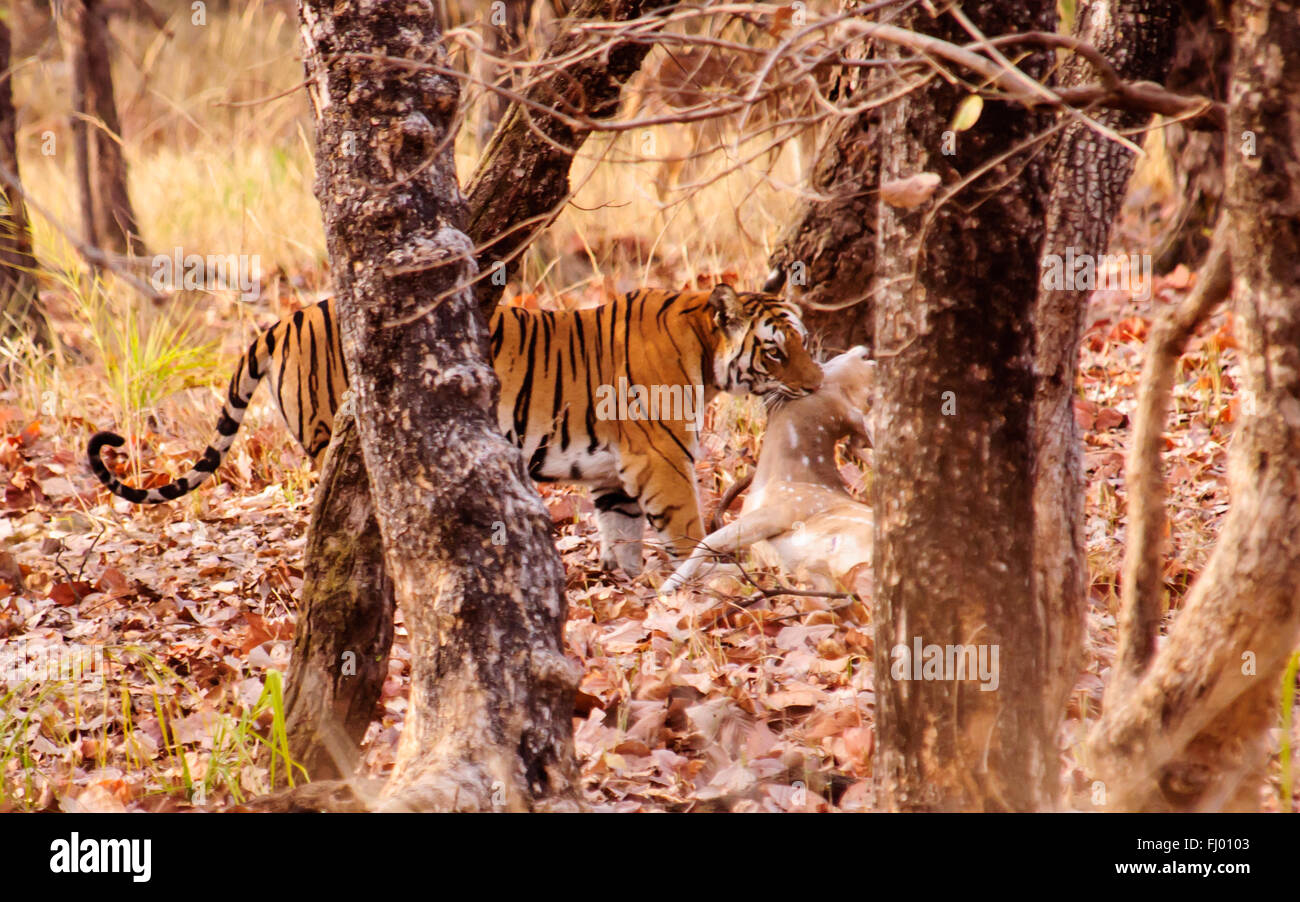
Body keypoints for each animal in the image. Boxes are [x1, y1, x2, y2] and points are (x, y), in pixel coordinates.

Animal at [87, 283, 823, 575]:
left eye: (805, 342)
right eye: (775, 350)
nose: (817, 386)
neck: (703, 348)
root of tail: (288, 316)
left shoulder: (614, 474)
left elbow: (624, 542)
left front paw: (631, 592)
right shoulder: (660, 462)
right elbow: (693, 534)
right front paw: (711, 587)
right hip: (339, 442)